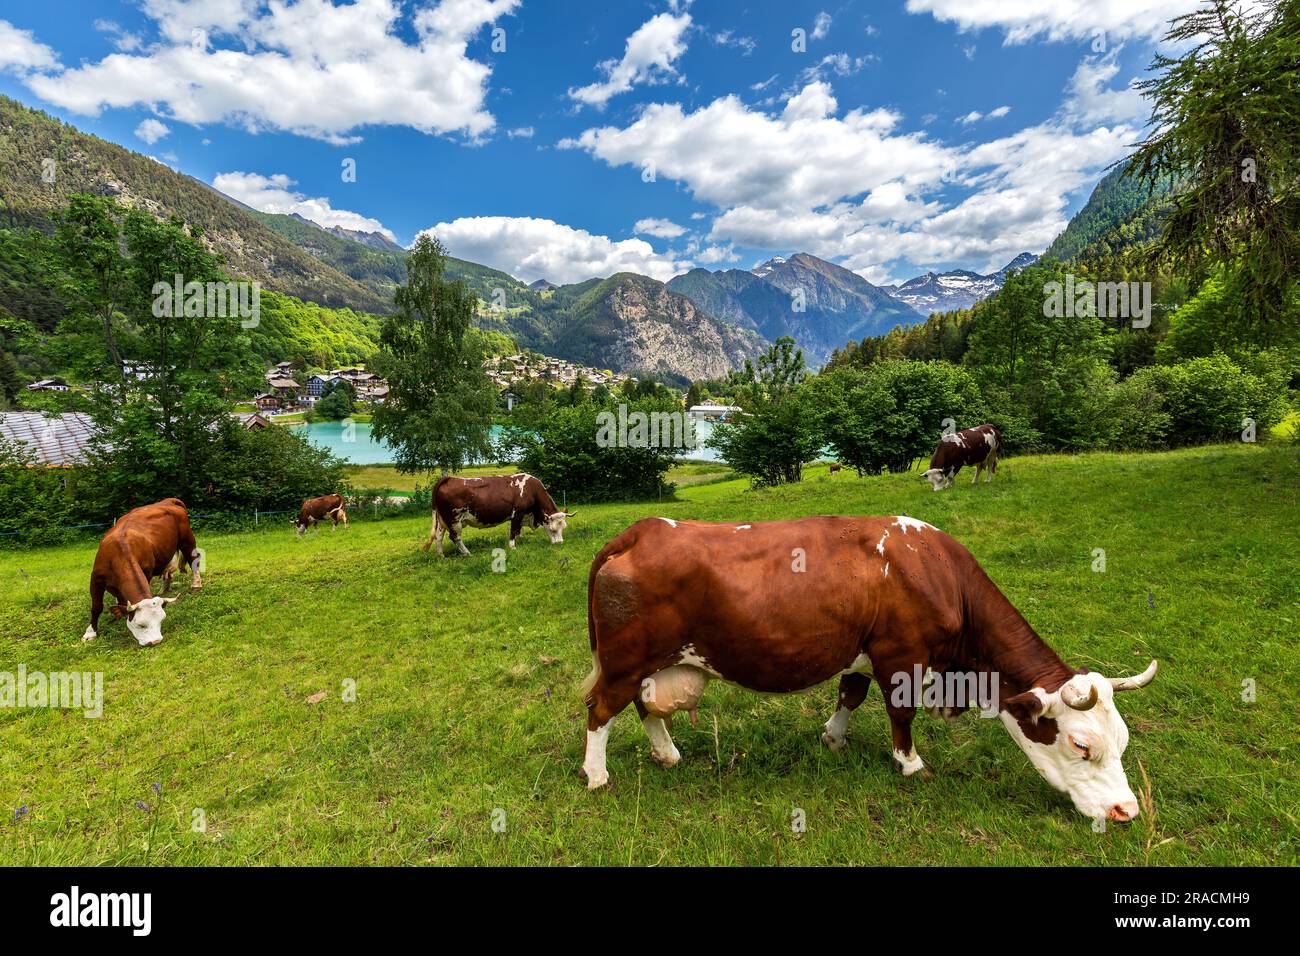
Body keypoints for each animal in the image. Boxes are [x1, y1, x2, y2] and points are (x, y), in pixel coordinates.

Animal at [83, 498, 203, 647]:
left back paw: (196, 585)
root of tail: (168, 501)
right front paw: (90, 633)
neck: (118, 552)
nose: (156, 641)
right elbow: (97, 607)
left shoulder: (146, 572)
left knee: (193, 560)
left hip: (187, 540)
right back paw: (164, 588)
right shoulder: (96, 579)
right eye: (140, 625)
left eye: (161, 620)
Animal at [421, 473, 575, 556]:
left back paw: (441, 555)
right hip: (454, 519)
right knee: (455, 537)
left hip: (442, 520)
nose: (560, 543)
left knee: (439, 536)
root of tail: (449, 478)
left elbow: (518, 531)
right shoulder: (517, 514)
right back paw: (467, 553)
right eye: (553, 529)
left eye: (564, 527)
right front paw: (512, 546)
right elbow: (513, 531)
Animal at [580, 515, 1157, 822]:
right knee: (600, 709)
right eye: (1080, 744)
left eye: (1123, 740)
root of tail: (639, 531)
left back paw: (667, 754)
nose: (1127, 811)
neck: (937, 571)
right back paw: (597, 775)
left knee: (643, 707)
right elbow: (901, 715)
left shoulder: (863, 649)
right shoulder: (902, 655)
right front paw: (910, 763)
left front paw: (834, 738)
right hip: (625, 660)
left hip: (646, 663)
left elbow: (850, 694)